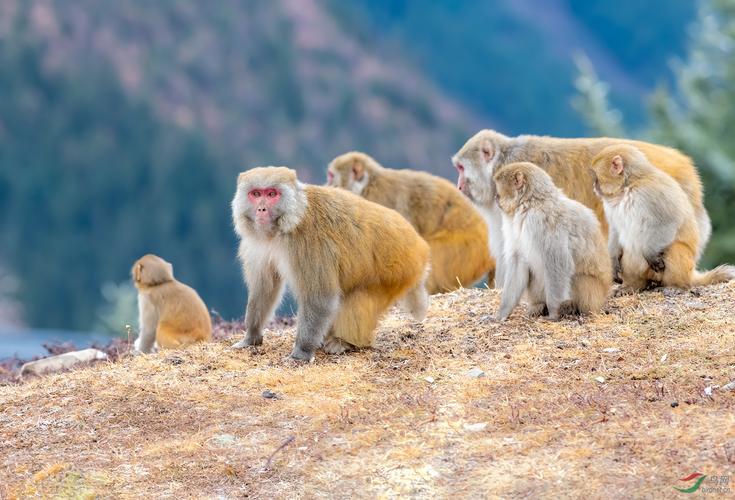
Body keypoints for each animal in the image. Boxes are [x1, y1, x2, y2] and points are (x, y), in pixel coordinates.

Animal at [231, 166, 430, 362]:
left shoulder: (307, 244)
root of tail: (420, 245)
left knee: (360, 295)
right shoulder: (258, 245)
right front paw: (251, 336)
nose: (261, 209)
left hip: (399, 268)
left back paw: (345, 342)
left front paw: (301, 353)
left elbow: (319, 297)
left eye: (272, 194)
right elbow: (265, 288)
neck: (289, 222)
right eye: (256, 194)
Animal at [492, 162, 612, 321]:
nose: (496, 196)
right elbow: (518, 261)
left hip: (593, 294)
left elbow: (559, 262)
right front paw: (502, 313)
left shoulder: (539, 222)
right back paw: (538, 306)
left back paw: (569, 308)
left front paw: (554, 313)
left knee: (576, 279)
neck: (530, 204)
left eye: (498, 187)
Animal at [590, 144, 735, 291]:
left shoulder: (650, 193)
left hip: (683, 266)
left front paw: (649, 253)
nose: (594, 186)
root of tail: (690, 274)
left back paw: (674, 284)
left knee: (668, 248)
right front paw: (613, 261)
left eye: (595, 176)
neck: (627, 187)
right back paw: (635, 285)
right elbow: (616, 230)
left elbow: (668, 222)